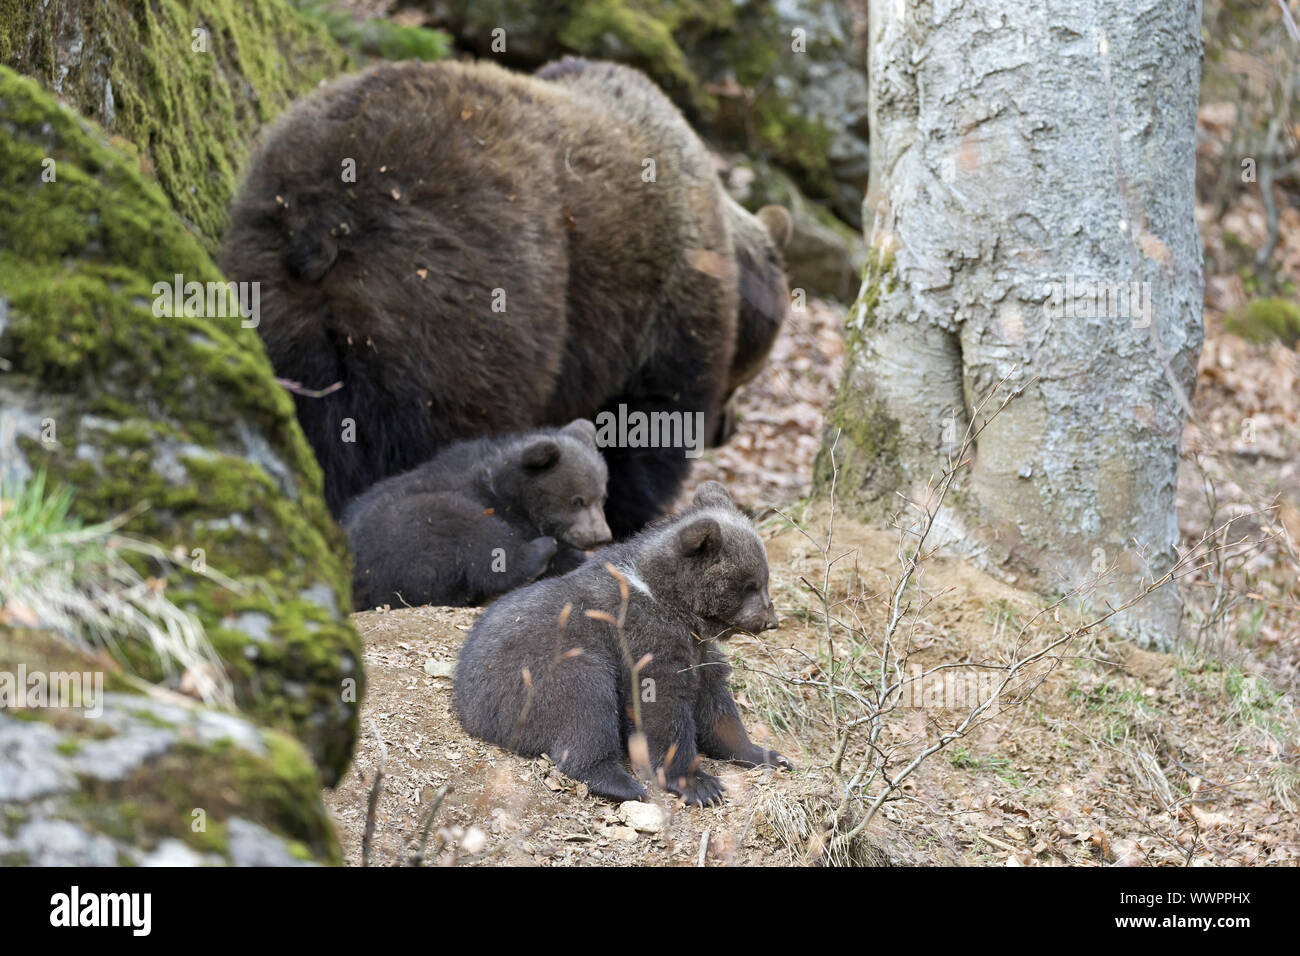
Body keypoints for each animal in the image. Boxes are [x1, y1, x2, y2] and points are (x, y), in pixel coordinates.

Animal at [218, 57, 791, 537]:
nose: (730, 426)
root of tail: (325, 210)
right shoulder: (665, 310)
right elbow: (646, 430)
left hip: (275, 292)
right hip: (468, 291)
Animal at [344, 419, 610, 610]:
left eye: (602, 497)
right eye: (577, 501)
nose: (601, 536)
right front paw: (570, 555)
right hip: (403, 528)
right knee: (471, 530)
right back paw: (540, 551)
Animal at [453, 480, 793, 806]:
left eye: (763, 580)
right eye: (749, 585)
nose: (771, 620)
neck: (673, 603)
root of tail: (471, 712)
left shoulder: (697, 649)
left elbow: (716, 703)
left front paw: (768, 755)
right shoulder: (644, 637)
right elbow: (660, 705)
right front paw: (698, 784)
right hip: (542, 673)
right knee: (584, 710)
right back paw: (622, 784)